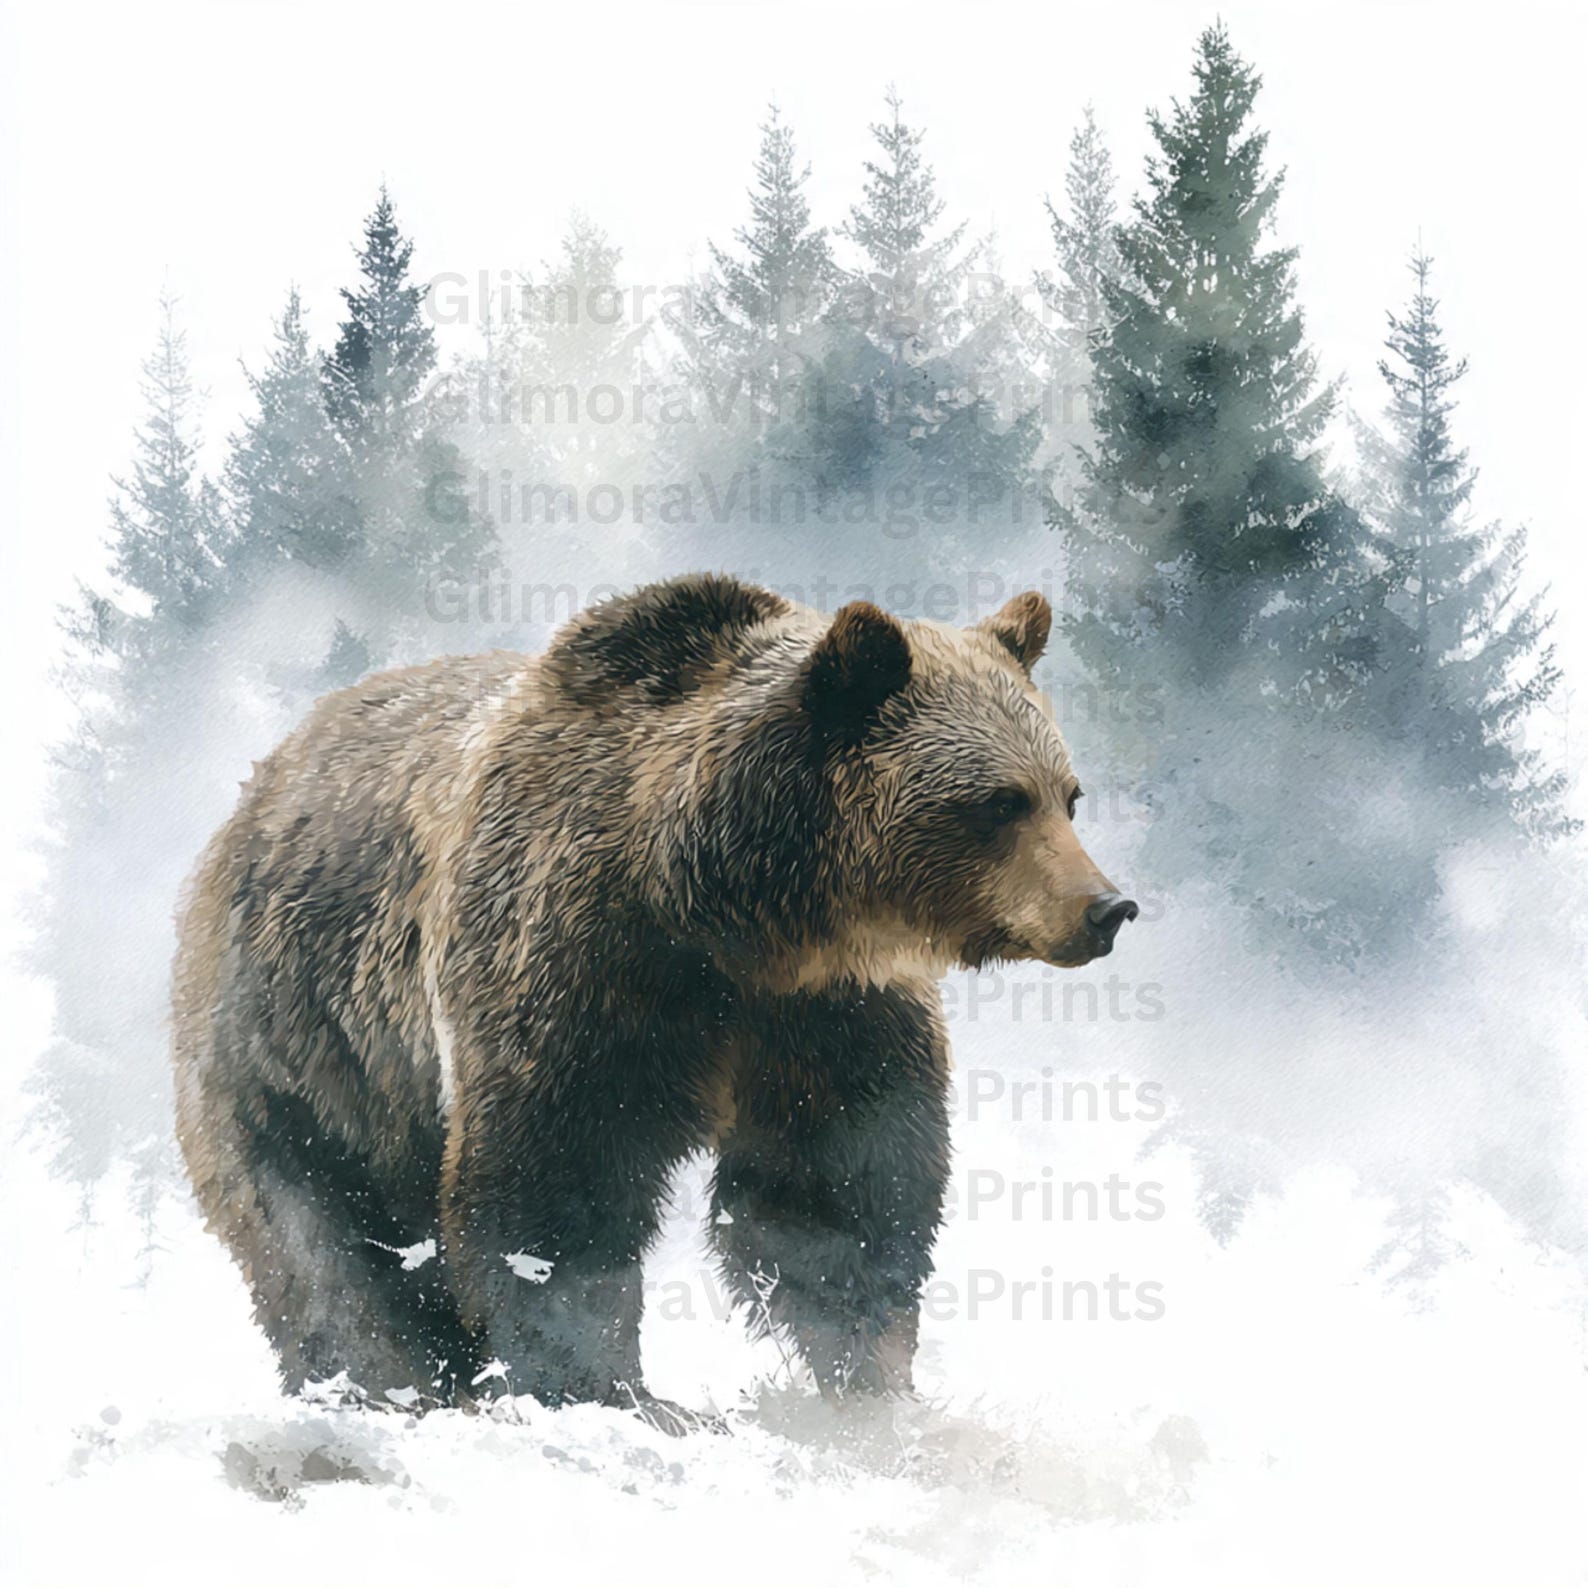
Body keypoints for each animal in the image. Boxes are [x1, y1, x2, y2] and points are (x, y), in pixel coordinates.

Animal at [172, 574, 1137, 1430]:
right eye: (1000, 802)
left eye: (1068, 793)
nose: (1107, 908)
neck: (729, 908)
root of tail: (256, 790)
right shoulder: (577, 961)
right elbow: (556, 1178)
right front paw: (606, 1386)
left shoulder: (823, 1010)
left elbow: (833, 1189)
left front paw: (872, 1376)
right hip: (297, 1034)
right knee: (324, 1239)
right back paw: (383, 1380)